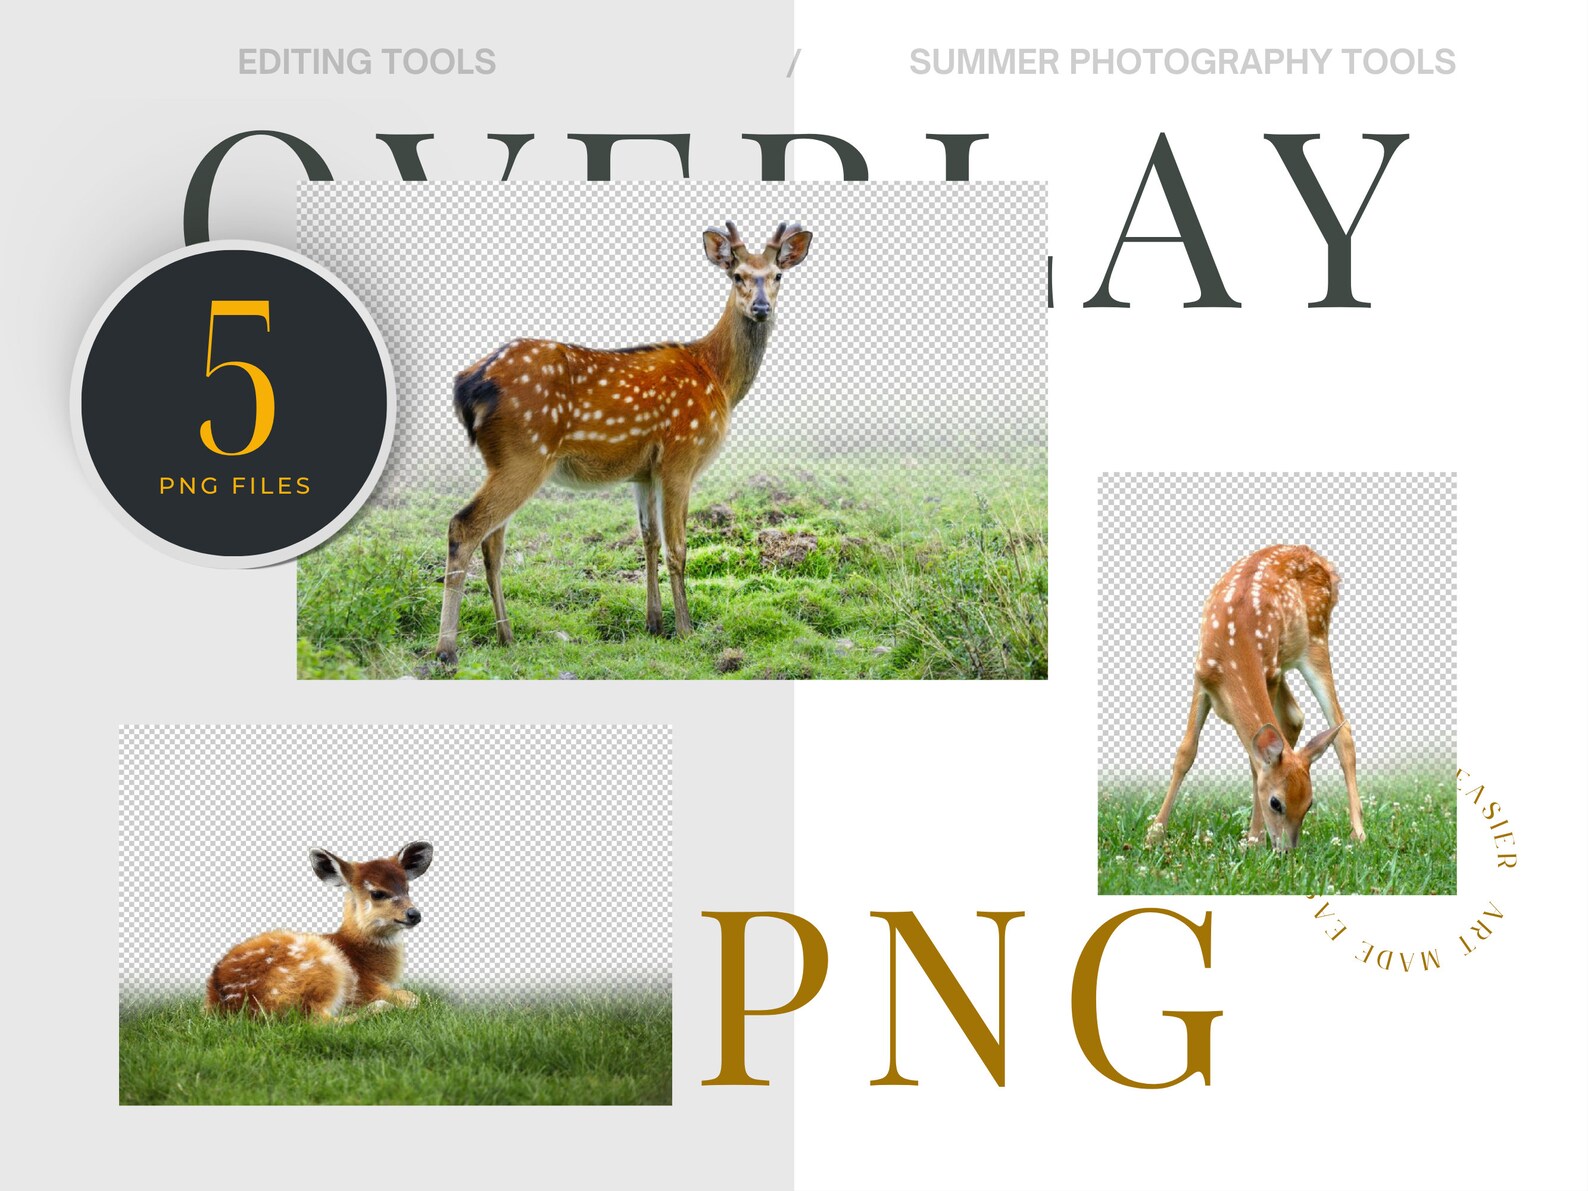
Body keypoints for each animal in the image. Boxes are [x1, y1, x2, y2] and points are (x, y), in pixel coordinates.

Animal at [204, 842, 432, 1019]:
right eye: (377, 893)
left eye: (407, 888)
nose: (414, 914)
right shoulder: (367, 987)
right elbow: (414, 998)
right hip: (323, 969)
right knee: (319, 1021)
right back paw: (377, 1008)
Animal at [434, 220, 815, 665]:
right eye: (737, 275)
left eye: (777, 275)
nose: (761, 307)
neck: (716, 376)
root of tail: (467, 383)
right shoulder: (680, 455)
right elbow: (678, 548)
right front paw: (685, 629)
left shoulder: (644, 472)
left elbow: (648, 538)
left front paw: (655, 623)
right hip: (524, 453)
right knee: (465, 526)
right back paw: (447, 649)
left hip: (505, 459)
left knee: (493, 540)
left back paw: (506, 636)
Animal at [1143, 545, 1364, 852]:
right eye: (1276, 803)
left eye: (1309, 805)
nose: (1287, 850)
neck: (1234, 652)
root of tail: (1319, 558)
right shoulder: (1202, 676)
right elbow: (1186, 752)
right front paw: (1154, 835)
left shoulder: (1268, 675)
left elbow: (1254, 763)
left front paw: (1255, 839)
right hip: (1287, 660)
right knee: (1295, 716)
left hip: (1315, 640)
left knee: (1341, 731)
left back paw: (1358, 833)